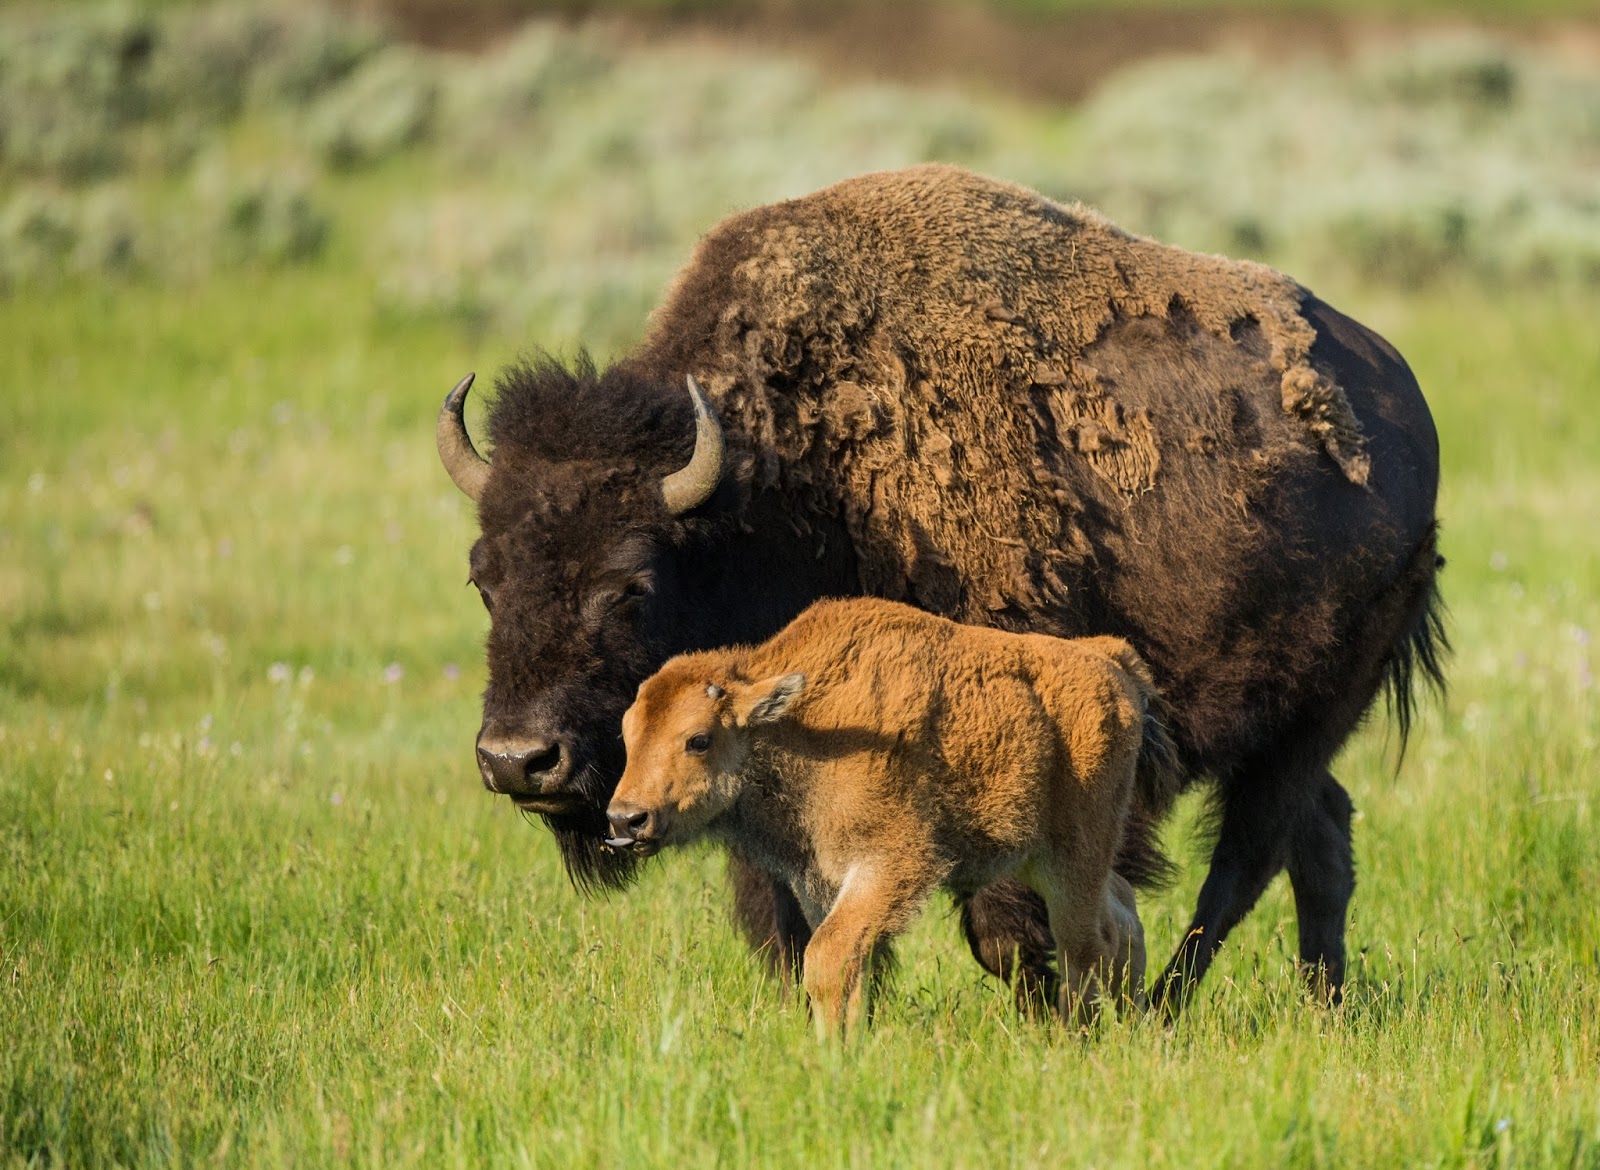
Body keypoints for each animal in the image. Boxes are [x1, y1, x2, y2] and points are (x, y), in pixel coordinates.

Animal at [437, 164, 1444, 1009]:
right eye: (484, 578)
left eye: (632, 583)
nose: (518, 760)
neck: (791, 482)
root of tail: (1401, 400)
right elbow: (784, 912)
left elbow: (1006, 918)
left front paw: (1048, 1007)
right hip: (1290, 733)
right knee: (1320, 836)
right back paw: (1322, 1002)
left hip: (1311, 714)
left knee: (1248, 856)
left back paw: (1167, 1004)